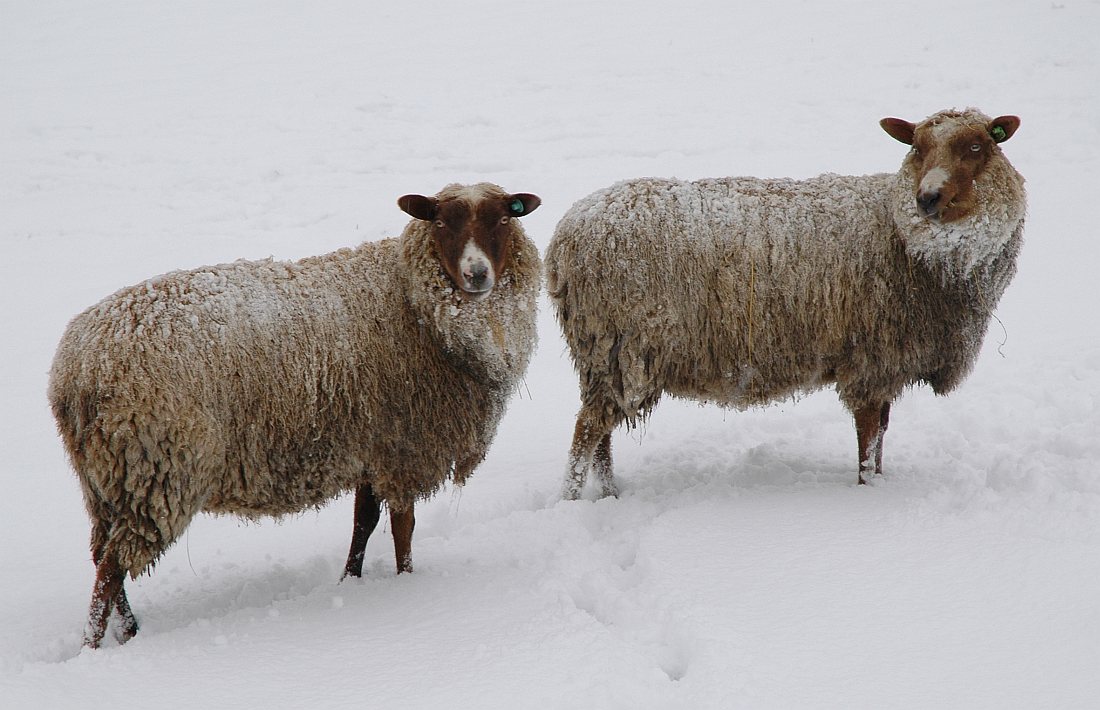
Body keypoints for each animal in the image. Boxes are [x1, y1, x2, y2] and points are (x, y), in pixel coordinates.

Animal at [49, 182, 542, 648]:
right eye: (440, 223)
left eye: (502, 219)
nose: (476, 274)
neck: (410, 297)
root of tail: (75, 369)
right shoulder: (406, 446)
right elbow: (403, 527)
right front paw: (407, 582)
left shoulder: (373, 442)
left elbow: (364, 522)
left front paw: (350, 581)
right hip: (155, 471)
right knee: (111, 568)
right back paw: (94, 645)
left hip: (108, 481)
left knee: (102, 555)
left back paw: (129, 630)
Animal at [546, 108, 1025, 499]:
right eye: (917, 148)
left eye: (977, 146)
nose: (927, 198)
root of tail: (565, 238)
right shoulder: (871, 359)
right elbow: (868, 439)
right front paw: (869, 494)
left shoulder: (885, 363)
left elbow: (881, 437)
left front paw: (880, 483)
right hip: (620, 345)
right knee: (587, 430)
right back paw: (572, 501)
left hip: (605, 356)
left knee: (601, 431)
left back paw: (610, 495)